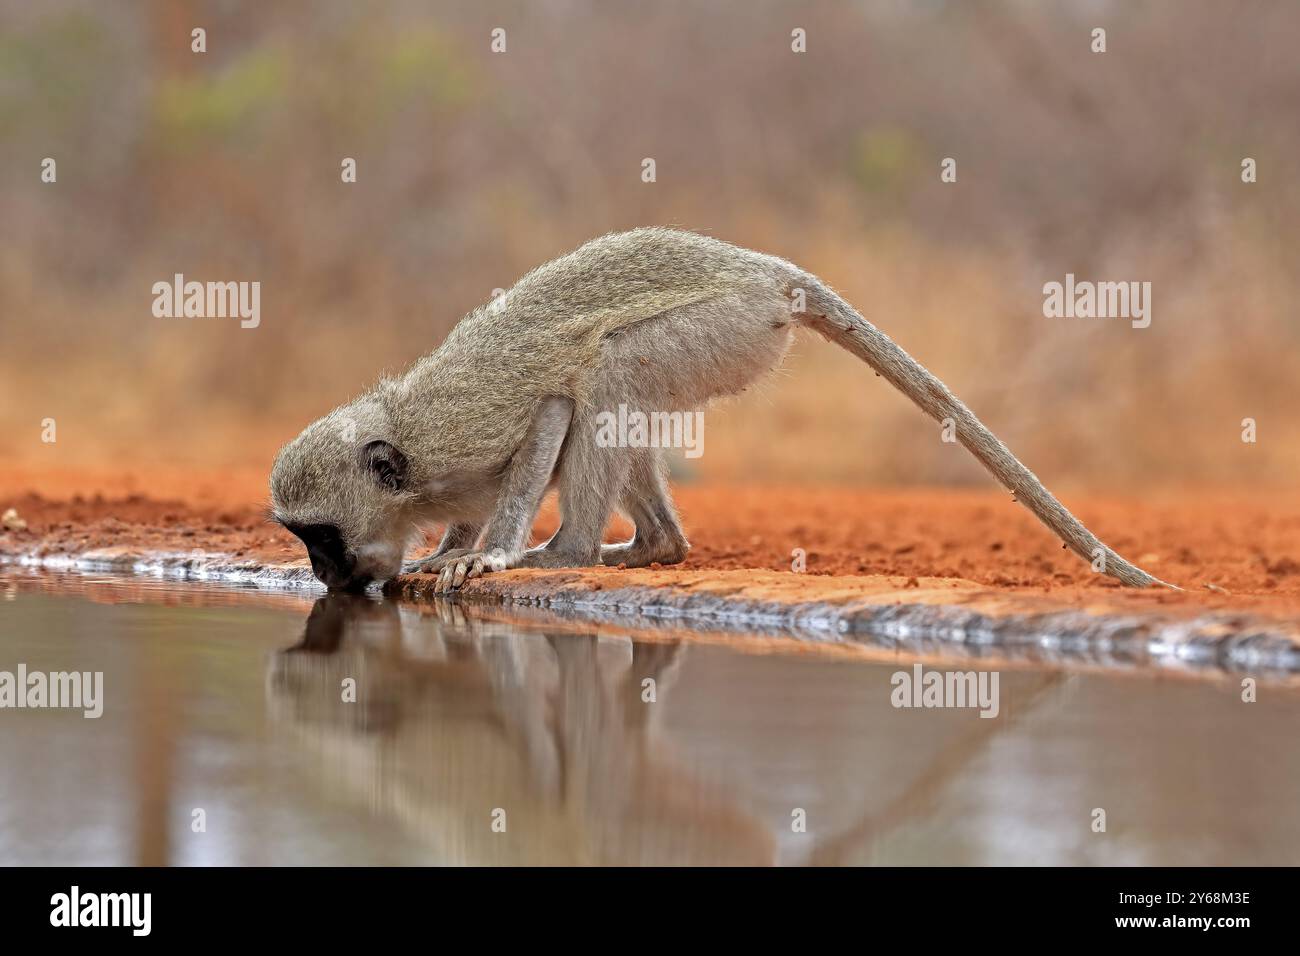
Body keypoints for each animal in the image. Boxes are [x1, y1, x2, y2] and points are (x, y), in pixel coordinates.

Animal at [269, 227, 1172, 593]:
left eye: (321, 537)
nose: (323, 575)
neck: (407, 461)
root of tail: (765, 271)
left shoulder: (462, 435)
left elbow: (555, 410)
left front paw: (485, 555)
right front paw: (449, 550)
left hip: (726, 328)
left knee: (609, 374)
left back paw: (566, 555)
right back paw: (653, 547)